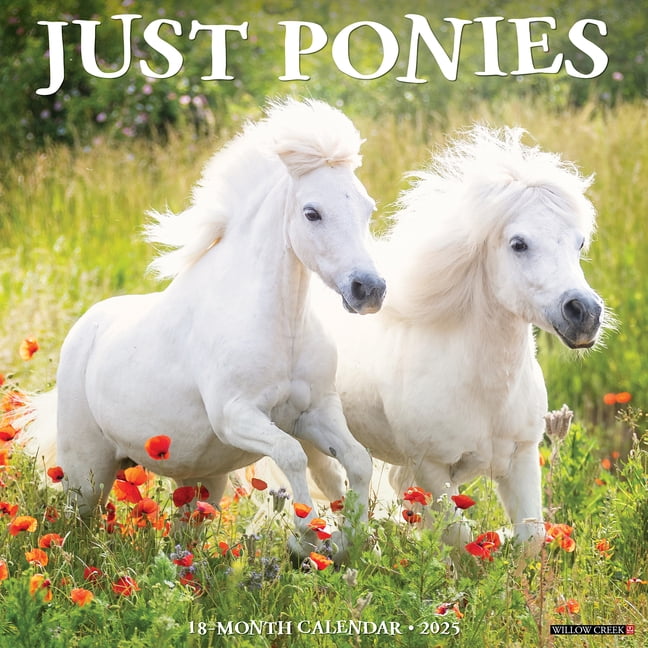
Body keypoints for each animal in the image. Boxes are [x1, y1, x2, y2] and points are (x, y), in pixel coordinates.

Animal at [24, 99, 386, 553]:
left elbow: (357, 459)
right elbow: (291, 454)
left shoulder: (315, 411)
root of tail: (83, 330)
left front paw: (351, 542)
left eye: (367, 208)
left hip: (202, 482)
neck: (281, 327)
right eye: (312, 213)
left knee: (186, 533)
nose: (369, 289)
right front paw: (307, 538)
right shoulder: (235, 415)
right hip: (87, 475)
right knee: (78, 528)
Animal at [307, 125, 606, 547]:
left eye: (578, 243)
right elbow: (461, 537)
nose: (584, 314)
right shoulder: (431, 467)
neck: (484, 393)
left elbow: (530, 538)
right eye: (518, 244)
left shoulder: (522, 456)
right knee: (330, 486)